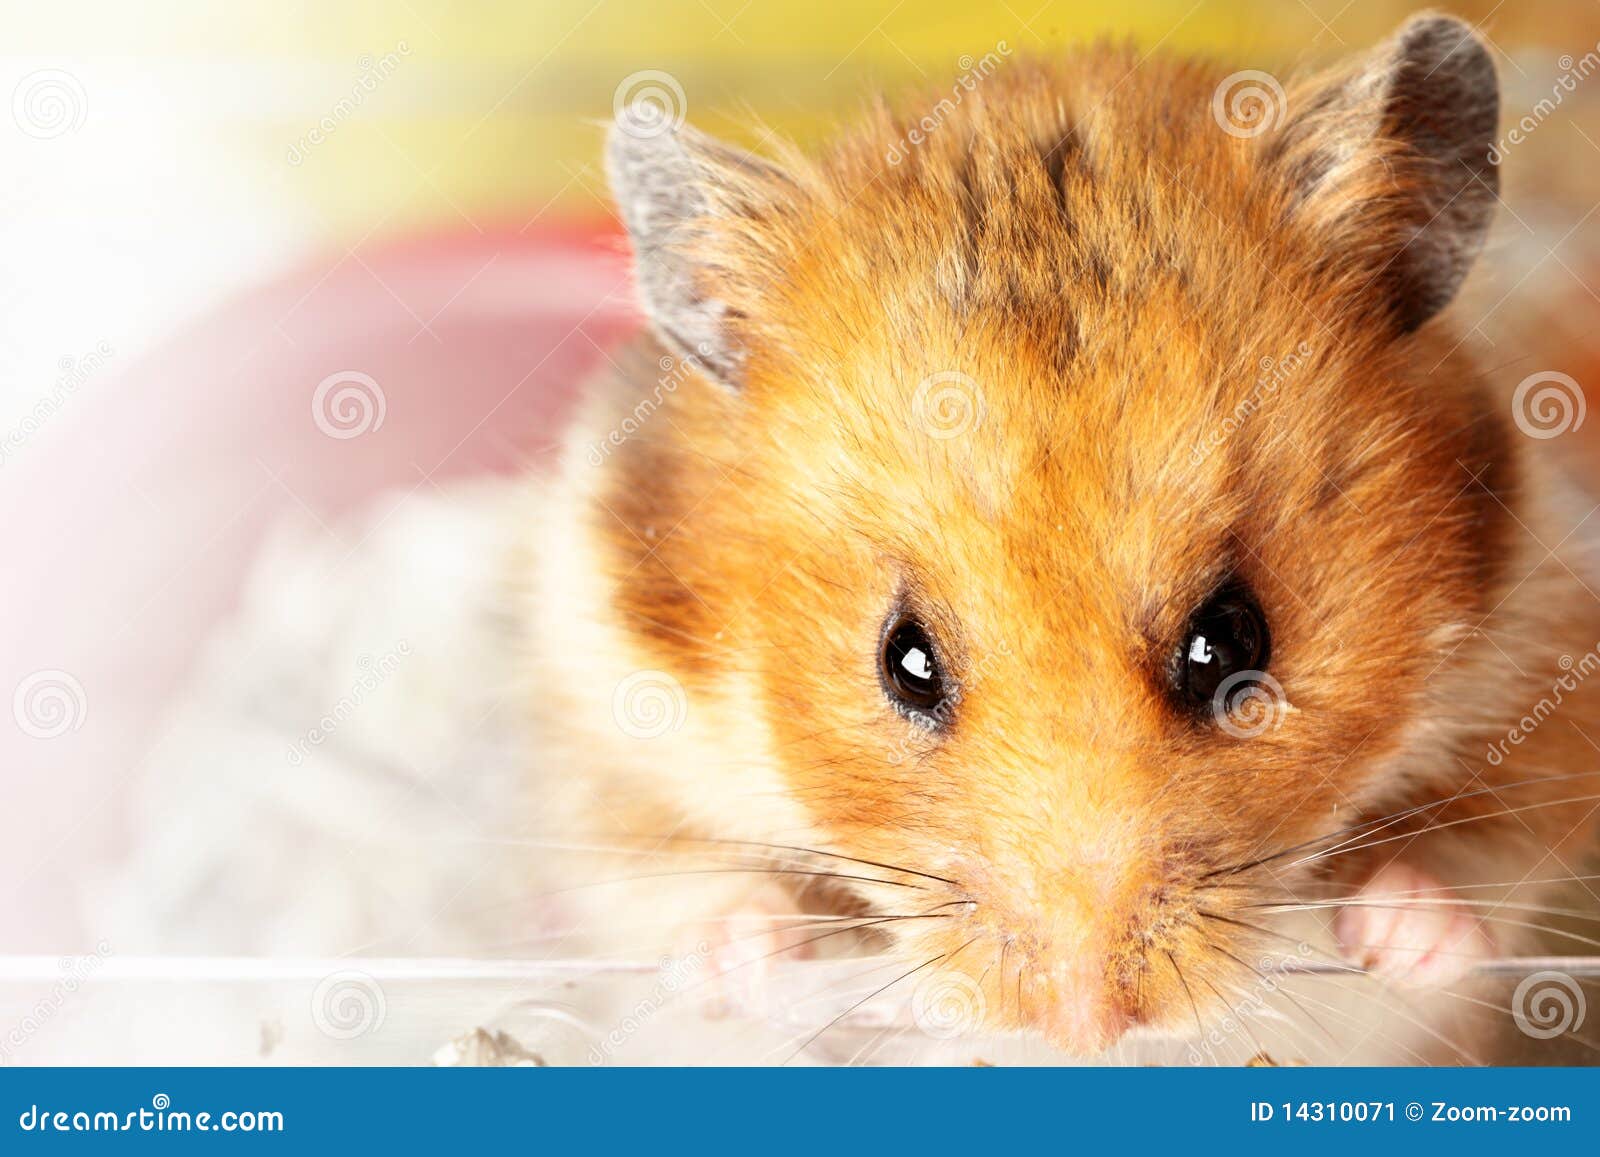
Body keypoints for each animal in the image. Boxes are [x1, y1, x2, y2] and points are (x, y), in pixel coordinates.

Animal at [521, 13, 1600, 1062]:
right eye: (903, 661)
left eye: (1229, 642)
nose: (1084, 1027)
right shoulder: (609, 721)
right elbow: (674, 873)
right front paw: (749, 953)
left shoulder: (1547, 658)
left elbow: (1481, 843)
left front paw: (1399, 932)